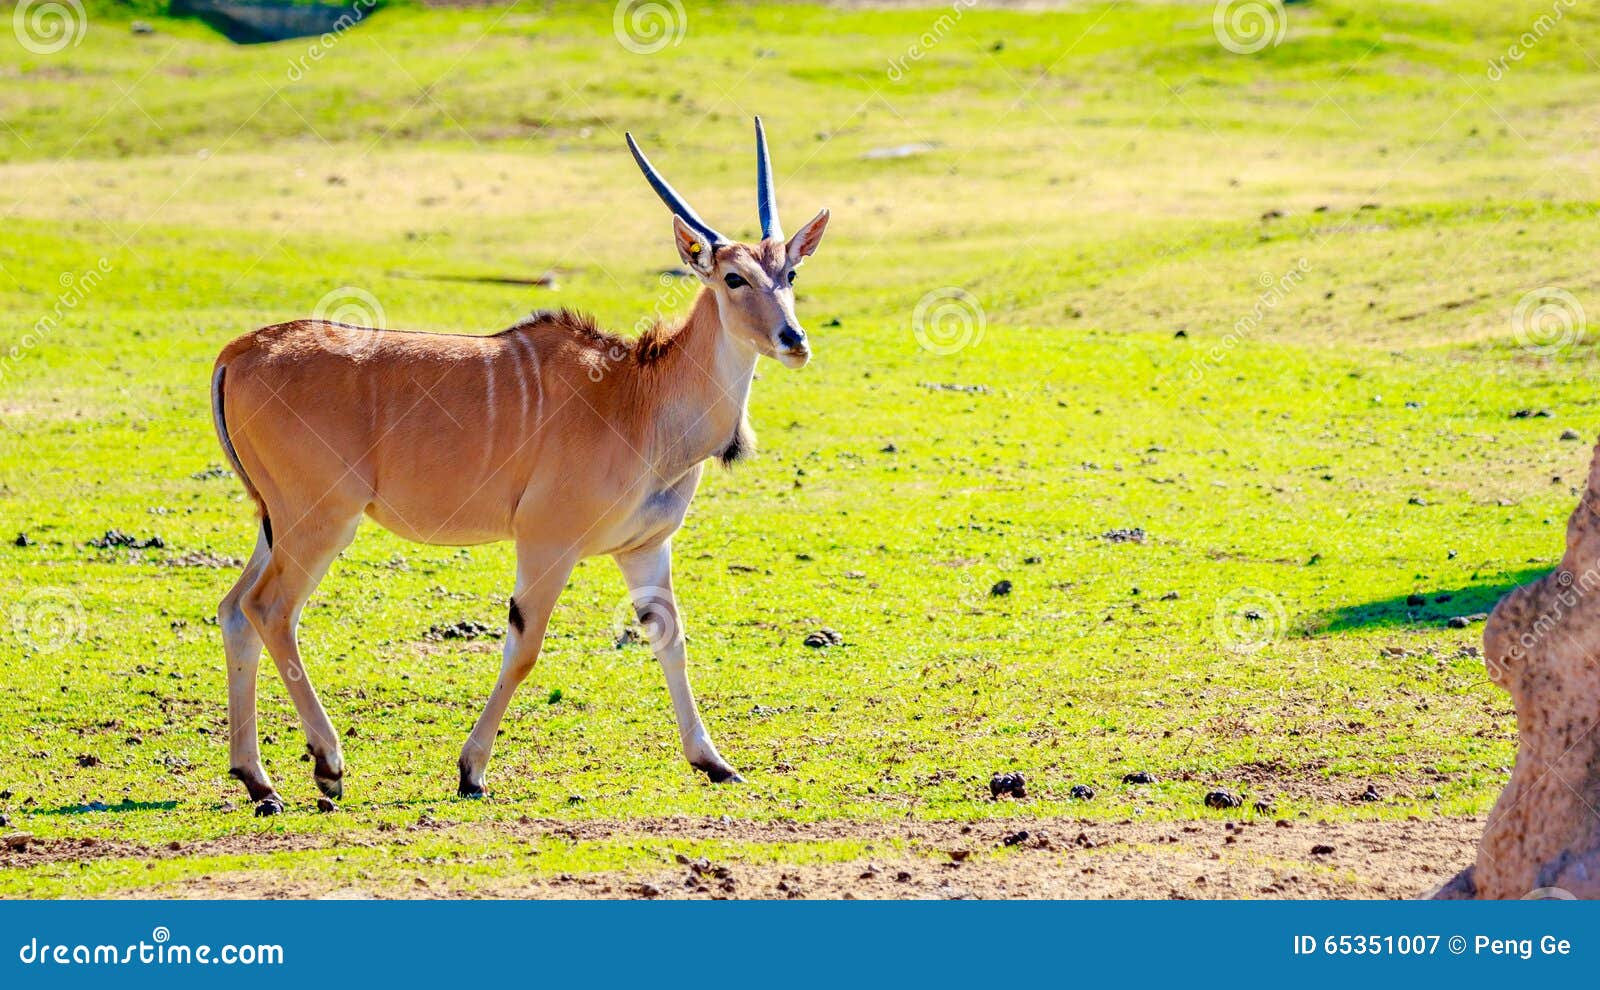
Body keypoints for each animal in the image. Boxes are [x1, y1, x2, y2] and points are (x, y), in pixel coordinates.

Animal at [211, 119, 829, 814]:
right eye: (732, 278)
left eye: (790, 271)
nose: (794, 340)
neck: (637, 396)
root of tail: (240, 351)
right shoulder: (546, 542)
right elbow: (525, 647)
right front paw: (471, 771)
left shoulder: (644, 548)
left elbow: (670, 636)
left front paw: (714, 762)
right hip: (319, 521)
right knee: (271, 610)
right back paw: (328, 764)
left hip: (277, 523)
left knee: (235, 611)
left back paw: (258, 780)